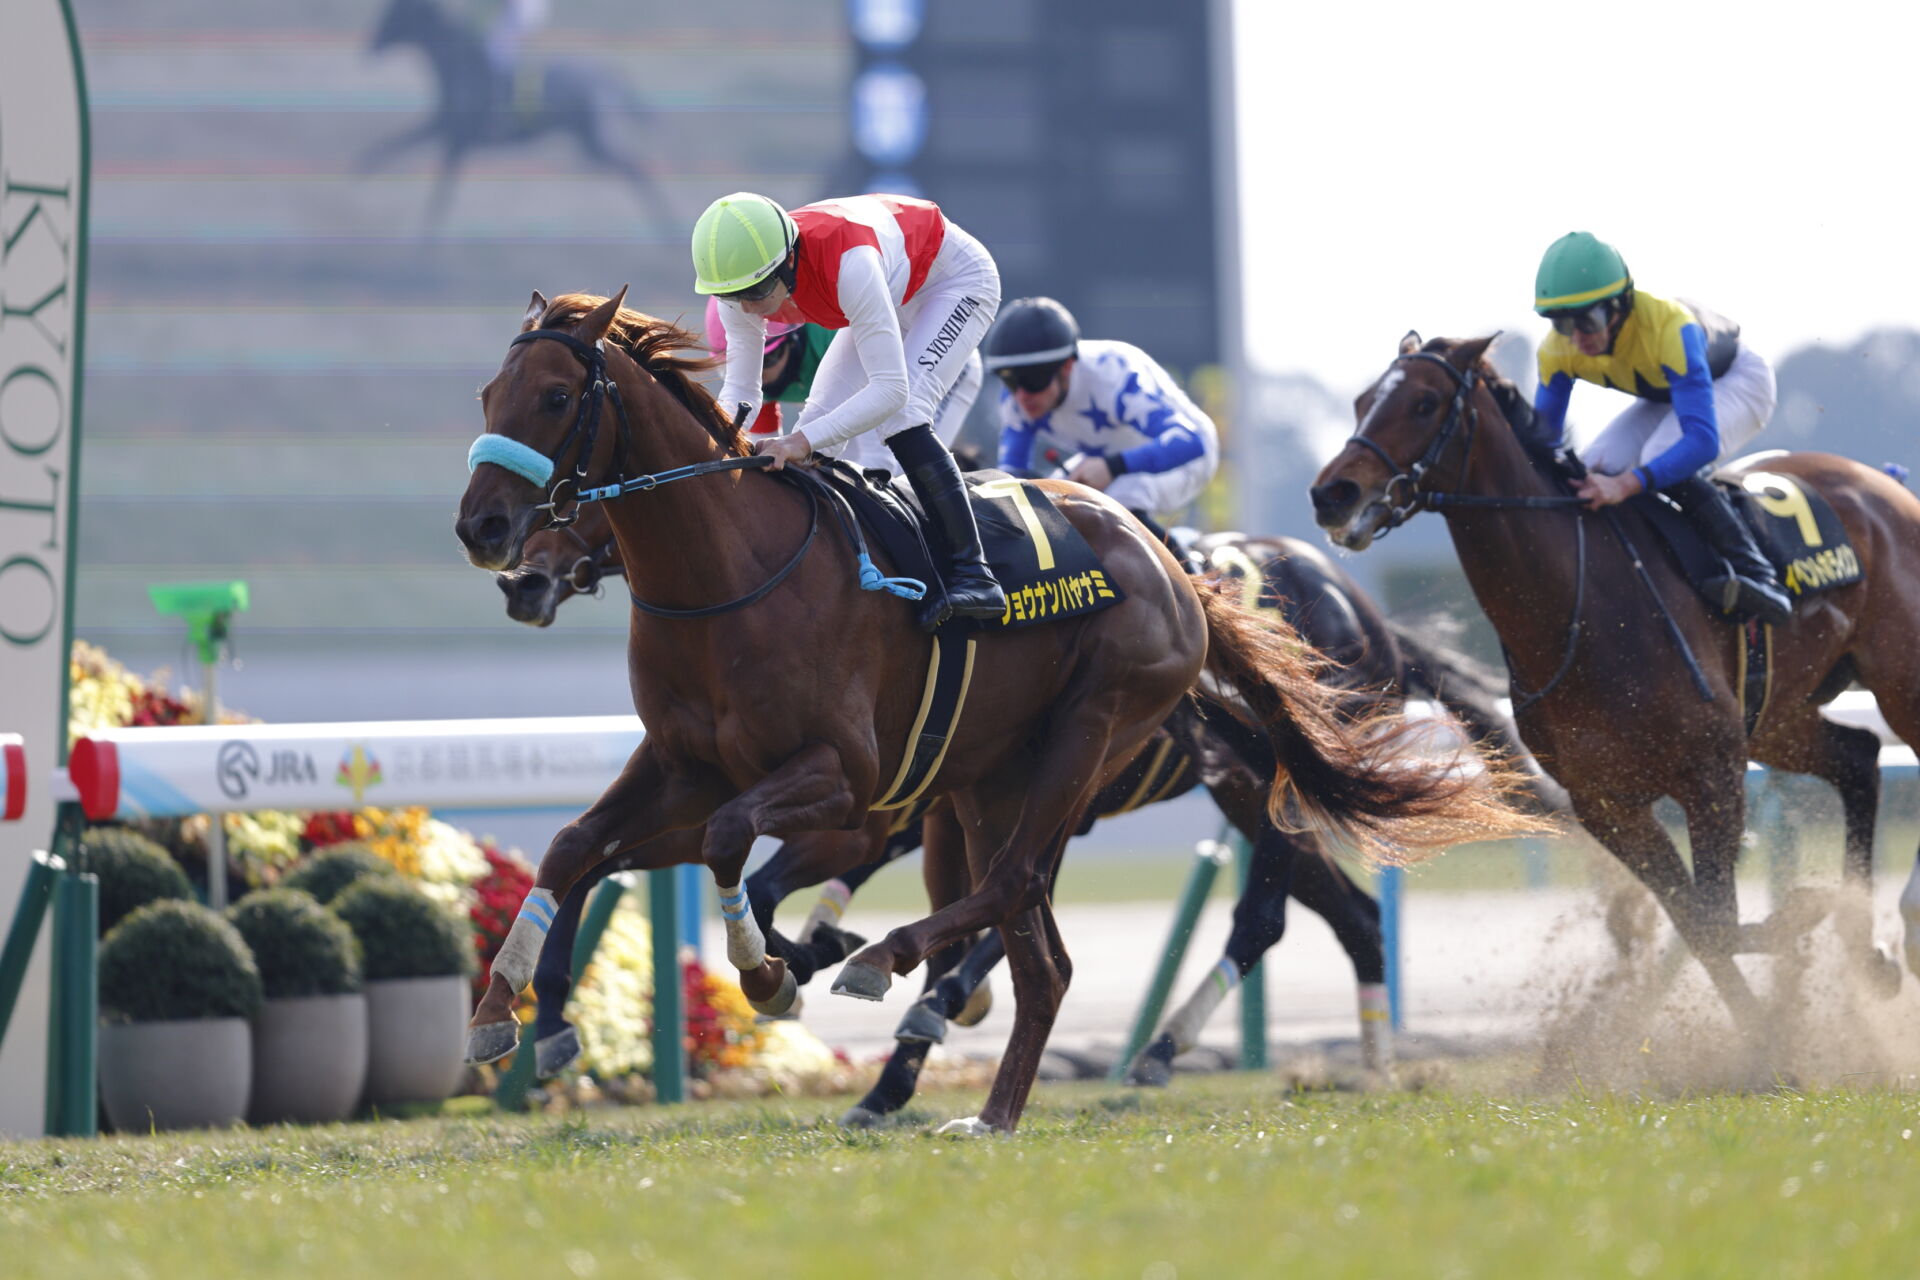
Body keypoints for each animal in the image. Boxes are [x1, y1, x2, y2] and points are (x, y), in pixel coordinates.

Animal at [364, 0, 672, 227]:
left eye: (397, 13)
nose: (372, 46)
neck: (459, 65)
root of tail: (602, 74)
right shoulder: (449, 133)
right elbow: (431, 184)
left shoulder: (453, 133)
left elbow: (431, 188)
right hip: (589, 140)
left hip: (592, 140)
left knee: (634, 169)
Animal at [455, 291, 1535, 1133]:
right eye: (488, 395)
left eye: (556, 397)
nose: (495, 544)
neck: (736, 574)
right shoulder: (690, 771)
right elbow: (577, 847)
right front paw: (518, 1014)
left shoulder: (847, 787)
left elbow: (737, 857)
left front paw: (784, 971)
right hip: (1063, 779)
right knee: (1273, 919)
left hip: (1101, 743)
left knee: (1137, 896)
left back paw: (928, 987)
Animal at [1309, 331, 1920, 1046]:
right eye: (1360, 401)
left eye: (1424, 402)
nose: (1332, 493)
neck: (1582, 607)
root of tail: (1887, 486)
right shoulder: (1607, 802)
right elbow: (1700, 923)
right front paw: (1769, 1019)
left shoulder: (1712, 773)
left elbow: (1715, 919)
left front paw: (1778, 998)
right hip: (1777, 717)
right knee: (1858, 758)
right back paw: (1867, 946)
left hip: (1896, 683)